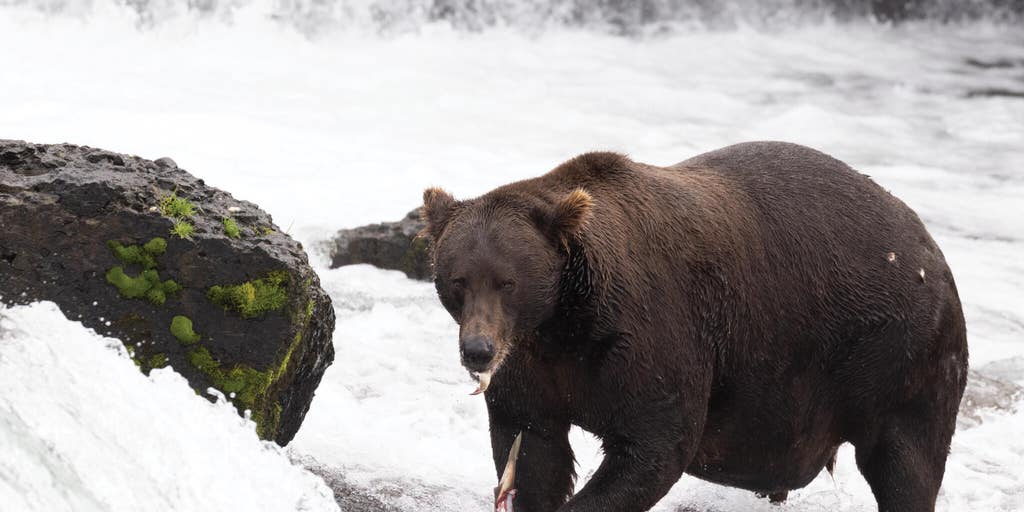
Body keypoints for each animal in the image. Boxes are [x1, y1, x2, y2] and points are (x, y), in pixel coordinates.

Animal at [420, 141, 968, 512]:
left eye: (507, 281)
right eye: (458, 280)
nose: (477, 350)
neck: (565, 323)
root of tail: (929, 242)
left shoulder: (649, 339)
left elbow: (654, 446)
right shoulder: (534, 364)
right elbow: (532, 445)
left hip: (896, 350)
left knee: (907, 459)